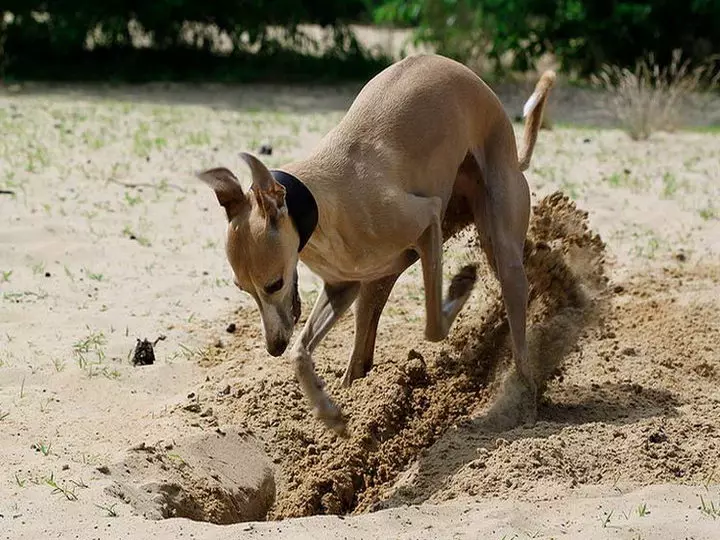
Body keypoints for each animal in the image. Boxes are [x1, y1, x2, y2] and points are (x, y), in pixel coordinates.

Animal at [197, 54, 556, 434]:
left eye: (273, 284)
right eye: (243, 289)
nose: (273, 347)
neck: (321, 203)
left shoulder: (427, 219)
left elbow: (433, 325)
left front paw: (460, 287)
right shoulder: (343, 286)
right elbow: (301, 353)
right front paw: (328, 411)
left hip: (502, 248)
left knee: (516, 317)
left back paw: (523, 400)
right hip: (377, 281)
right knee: (361, 351)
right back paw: (358, 396)